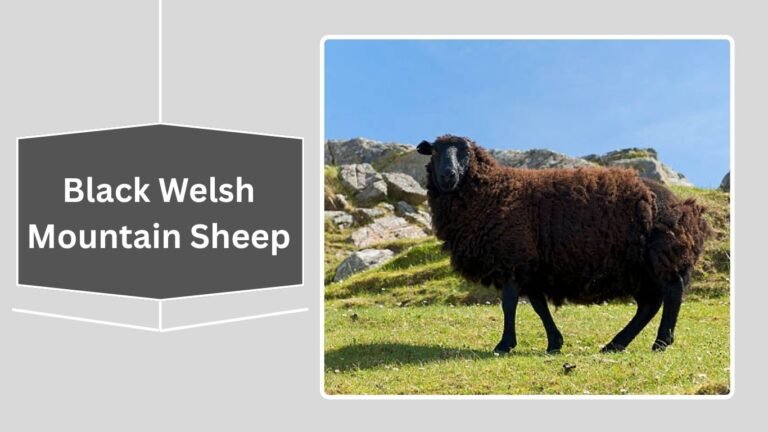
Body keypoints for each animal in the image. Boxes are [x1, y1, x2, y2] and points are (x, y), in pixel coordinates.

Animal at [417, 135, 711, 354]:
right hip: (636, 268)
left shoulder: (514, 257)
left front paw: (505, 344)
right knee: (649, 304)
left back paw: (660, 342)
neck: (491, 191)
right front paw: (554, 343)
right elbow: (539, 306)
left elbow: (509, 304)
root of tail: (683, 206)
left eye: (465, 152)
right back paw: (616, 344)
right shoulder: (530, 267)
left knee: (672, 292)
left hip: (661, 254)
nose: (449, 175)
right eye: (435, 152)